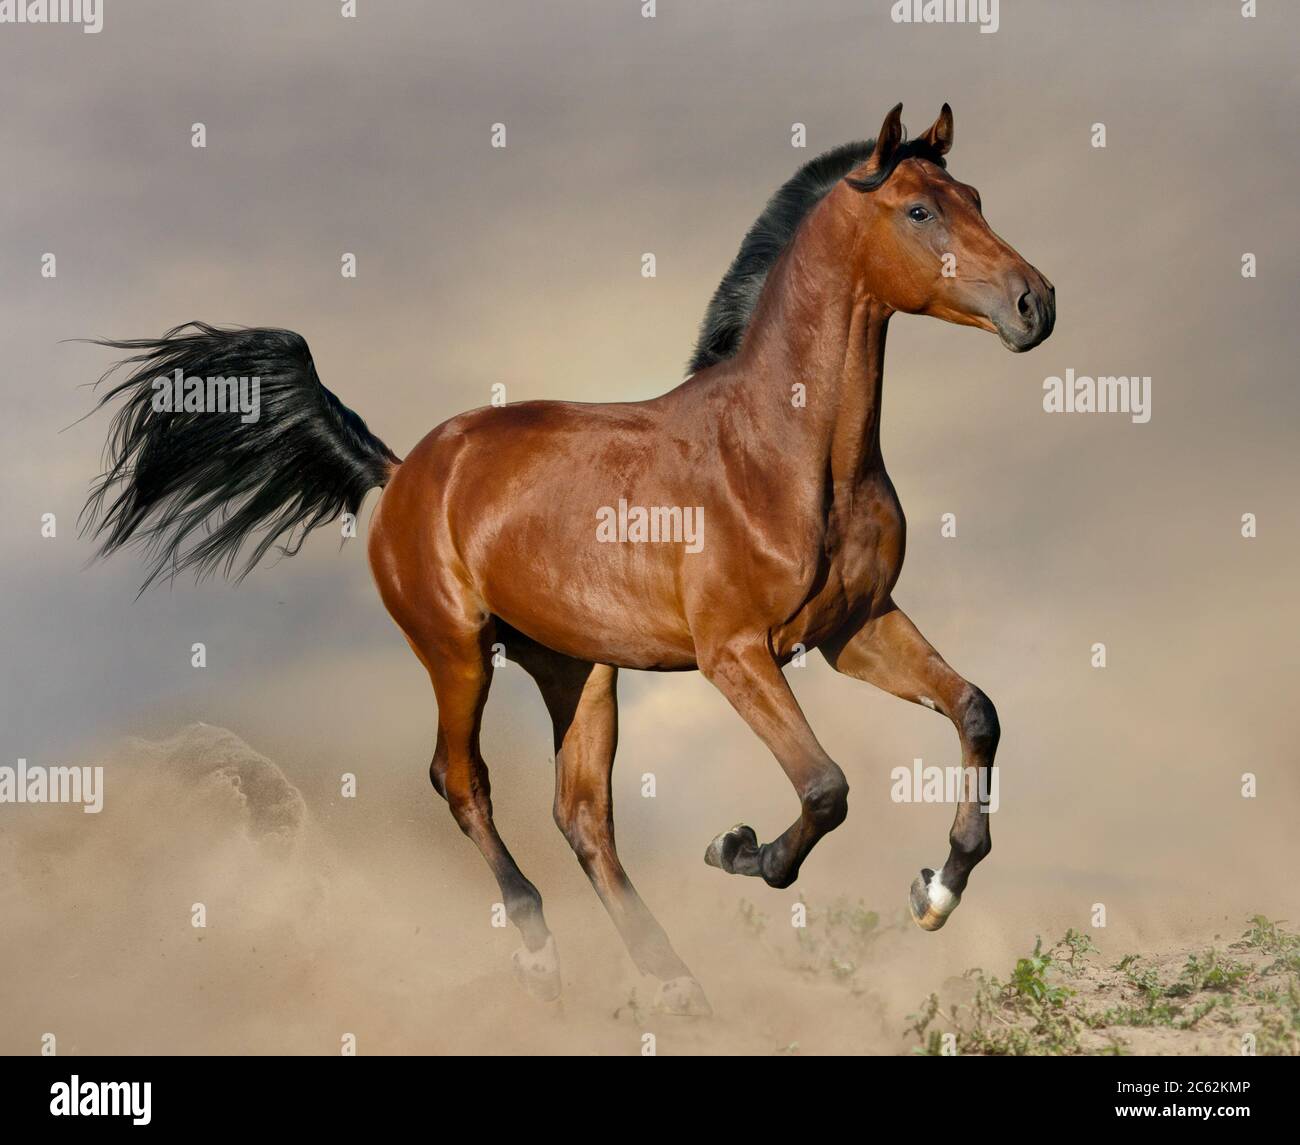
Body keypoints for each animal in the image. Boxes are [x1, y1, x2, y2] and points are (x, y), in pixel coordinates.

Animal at [82, 103, 1054, 1016]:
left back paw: (674, 982)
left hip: (576, 666)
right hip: (458, 652)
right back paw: (542, 955)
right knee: (462, 781)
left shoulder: (854, 630)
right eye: (920, 209)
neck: (782, 452)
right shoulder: (736, 652)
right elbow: (825, 786)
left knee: (582, 815)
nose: (1035, 303)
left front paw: (938, 889)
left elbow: (976, 711)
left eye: (976, 198)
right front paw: (741, 849)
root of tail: (400, 471)